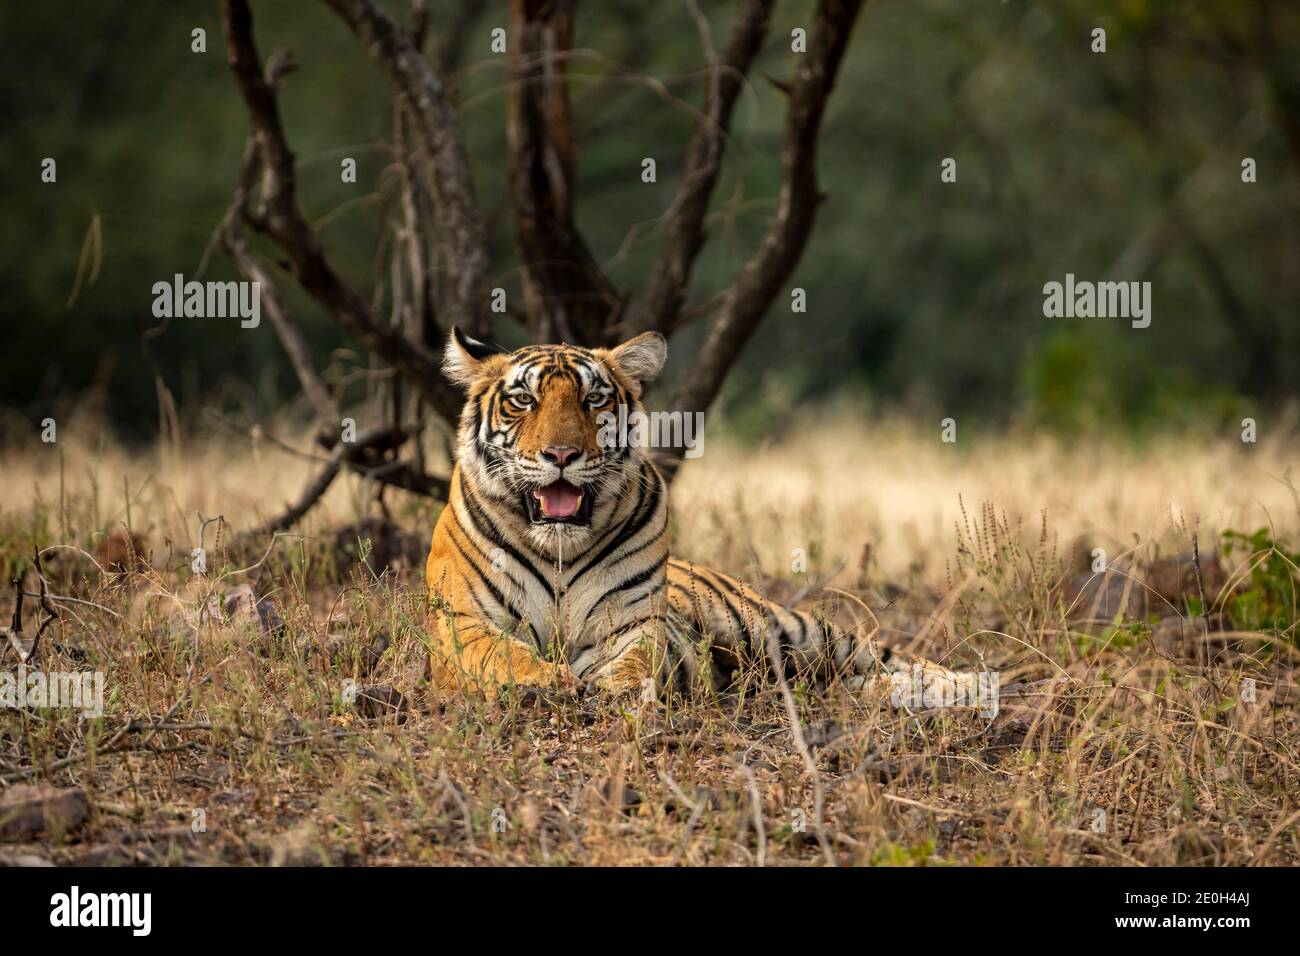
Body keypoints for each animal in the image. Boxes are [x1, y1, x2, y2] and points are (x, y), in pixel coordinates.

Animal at [425, 326, 967, 705]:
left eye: (594, 399)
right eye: (523, 400)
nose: (561, 454)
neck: (559, 546)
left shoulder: (633, 621)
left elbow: (635, 661)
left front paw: (618, 690)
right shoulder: (462, 621)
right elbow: (500, 653)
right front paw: (547, 682)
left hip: (782, 630)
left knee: (880, 654)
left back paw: (960, 687)